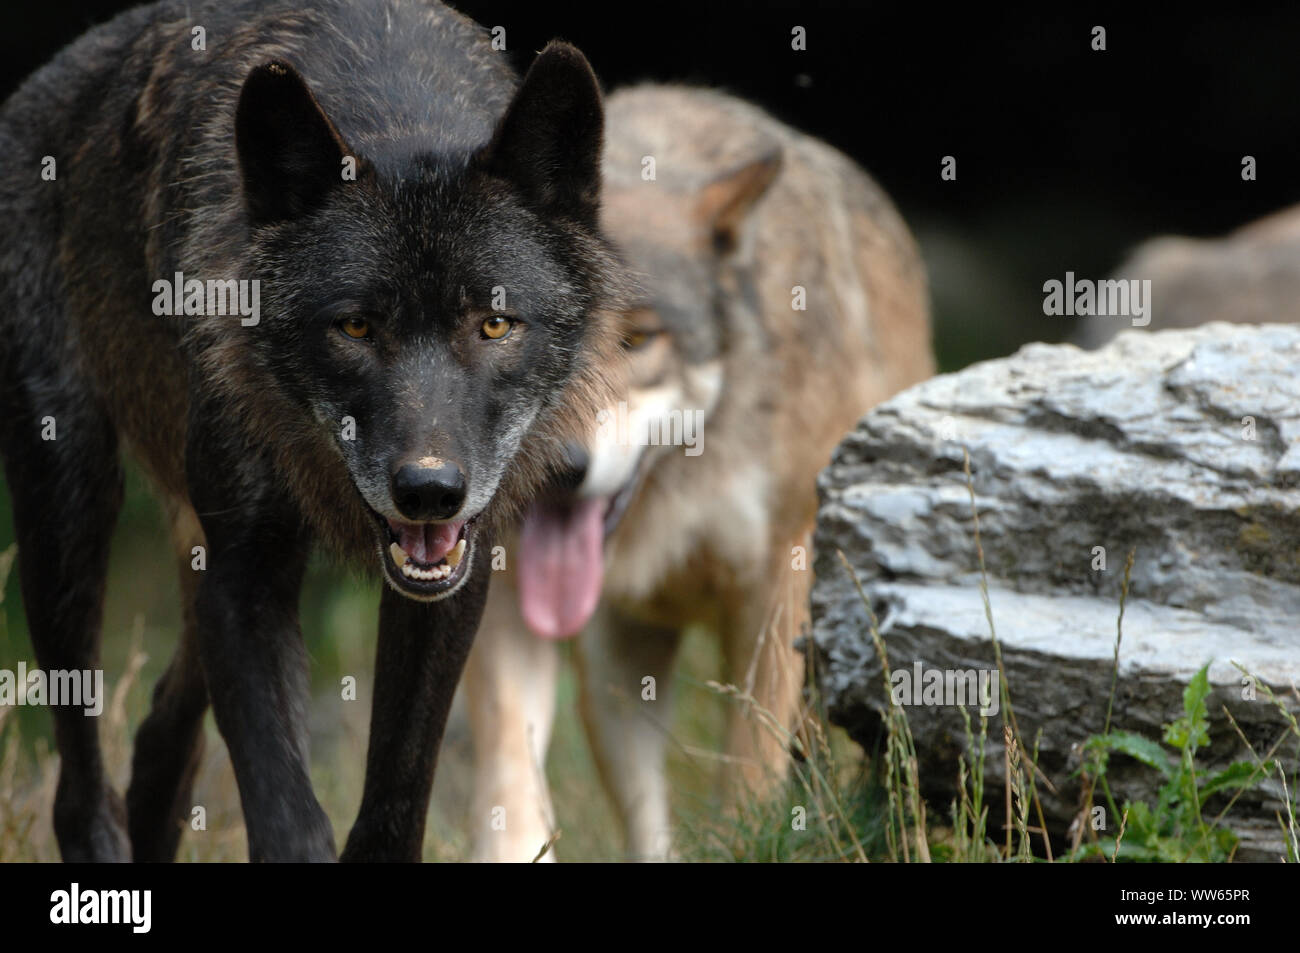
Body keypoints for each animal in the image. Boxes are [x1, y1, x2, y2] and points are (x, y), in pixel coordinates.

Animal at [0, 0, 620, 862]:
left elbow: (395, 800)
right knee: (81, 787)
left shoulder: (454, 582)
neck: (399, 115)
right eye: (354, 326)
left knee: (161, 737)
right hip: (70, 509)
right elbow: (288, 815)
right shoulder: (245, 578)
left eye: (494, 323)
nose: (428, 490)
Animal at [462, 85, 935, 861]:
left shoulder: (775, 588)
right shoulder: (505, 590)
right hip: (618, 669)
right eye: (504, 326)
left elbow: (749, 776)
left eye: (638, 338)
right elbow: (510, 783)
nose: (558, 468)